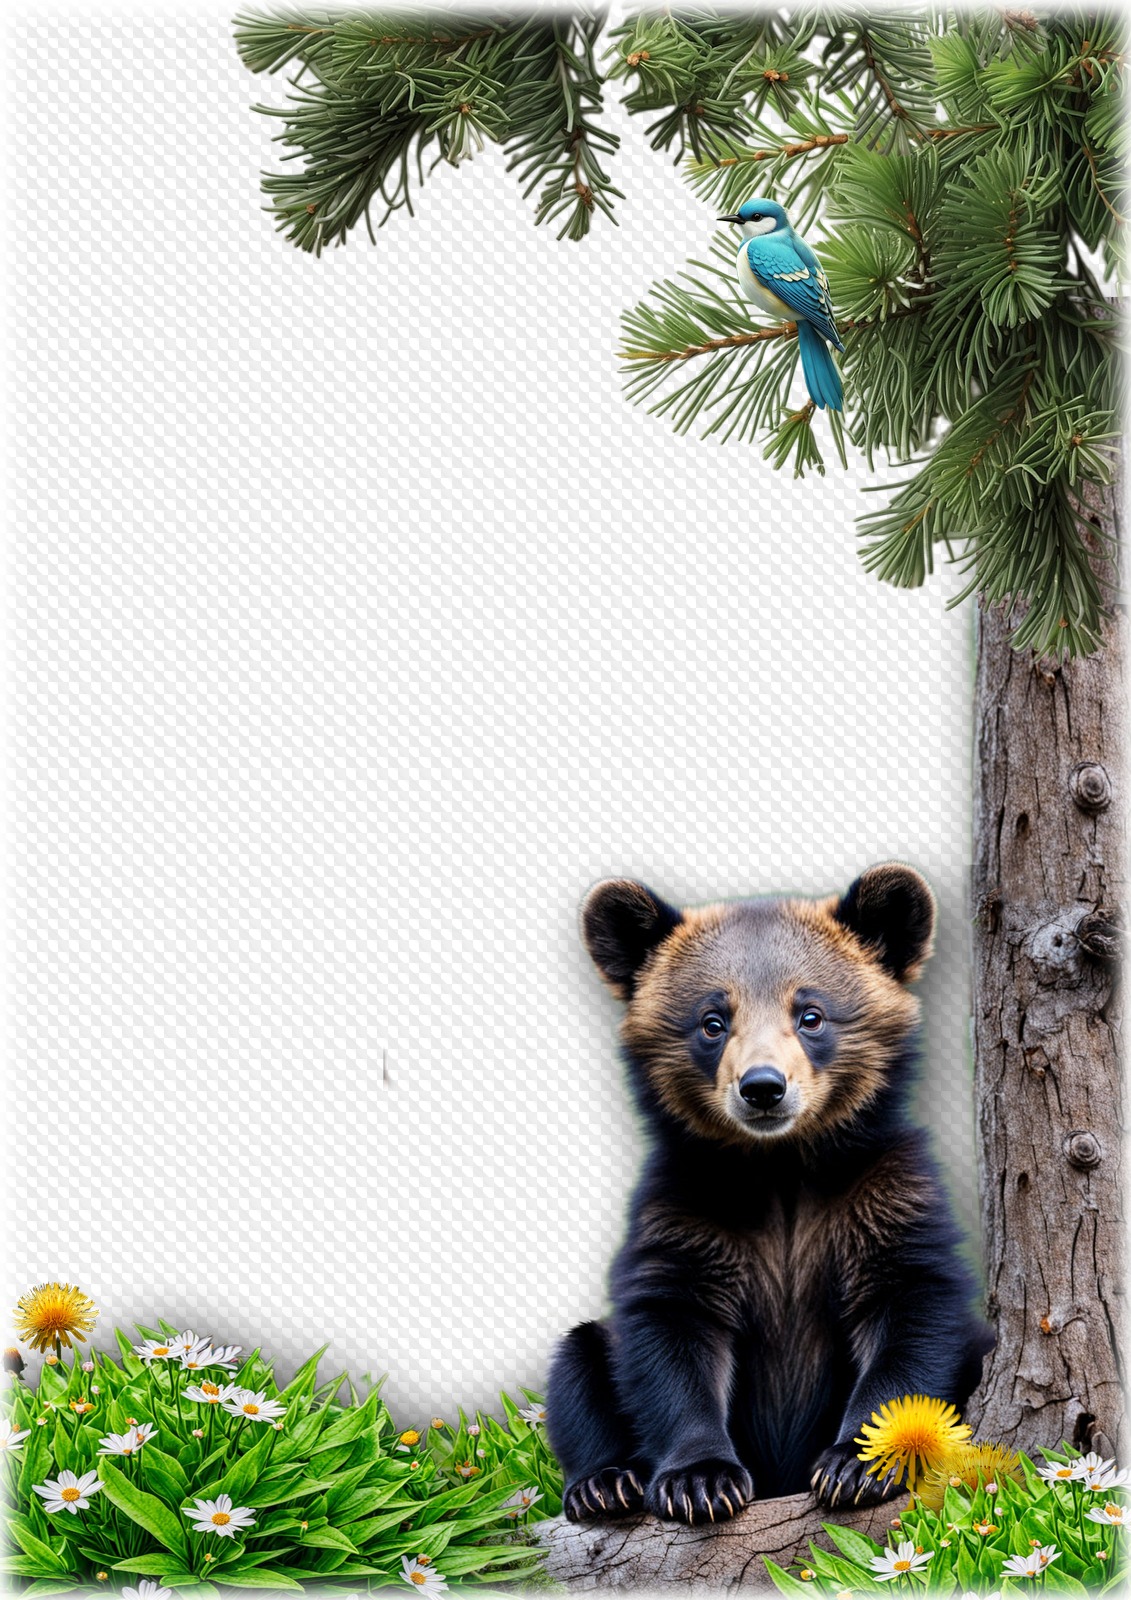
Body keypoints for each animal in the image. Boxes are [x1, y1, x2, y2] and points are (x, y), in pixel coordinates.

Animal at [546, 864, 993, 1525]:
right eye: (712, 1021)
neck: (779, 1168)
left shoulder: (884, 1193)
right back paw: (605, 1483)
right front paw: (699, 1481)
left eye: (811, 1014)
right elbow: (669, 1330)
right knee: (578, 1362)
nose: (762, 1088)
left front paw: (856, 1465)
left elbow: (913, 1312)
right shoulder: (684, 1210)